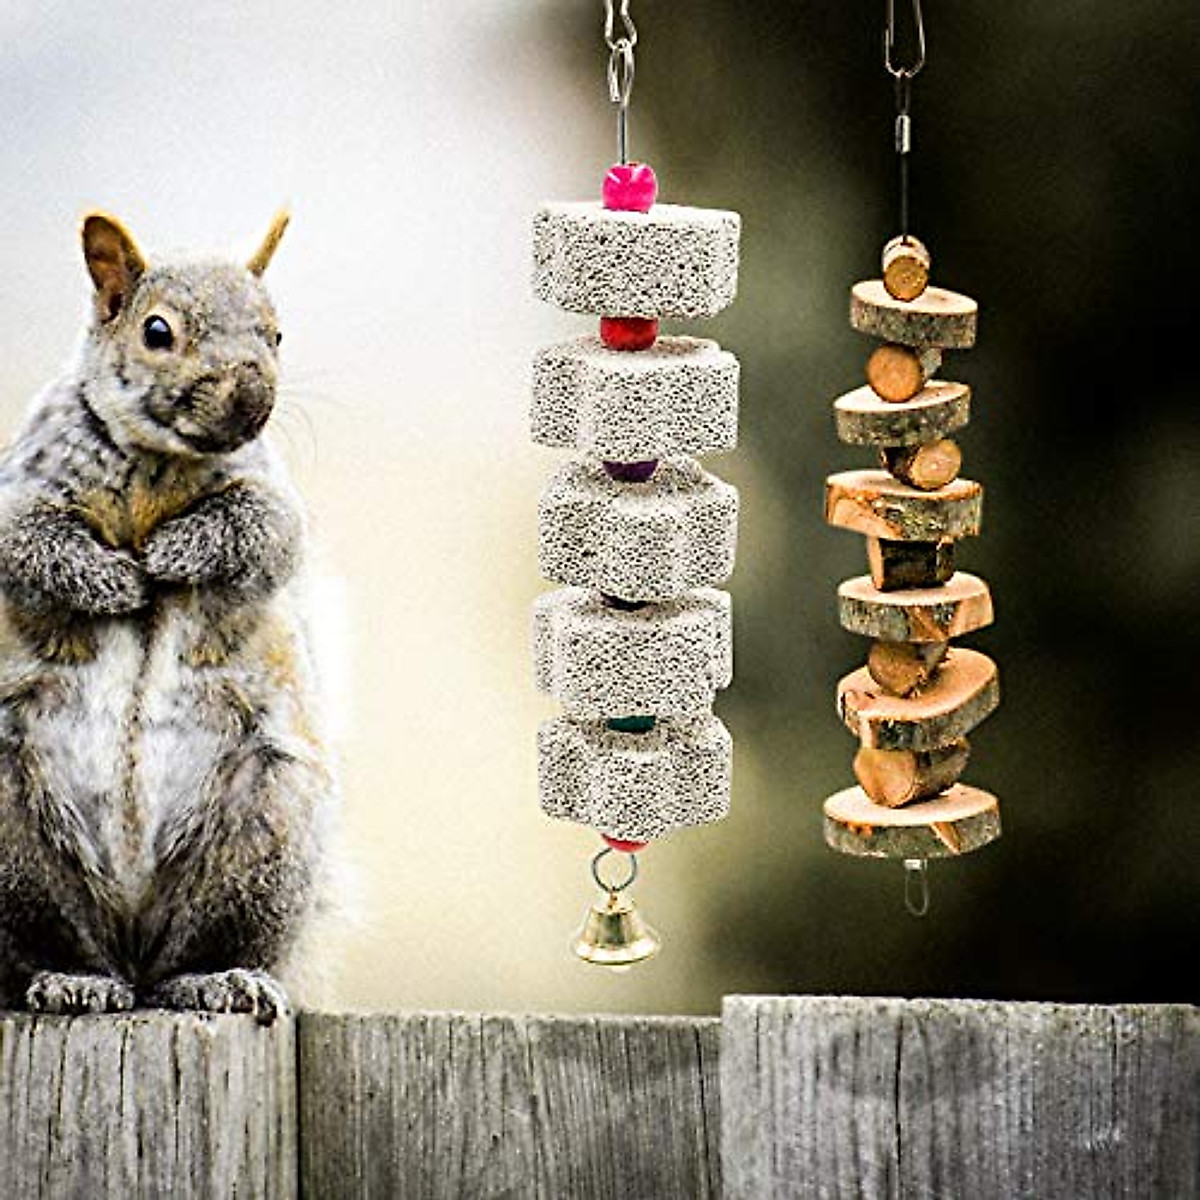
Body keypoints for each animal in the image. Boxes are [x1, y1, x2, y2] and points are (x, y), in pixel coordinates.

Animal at [0, 211, 335, 1023]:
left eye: (277, 334)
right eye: (158, 331)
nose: (253, 400)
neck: (158, 465)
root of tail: (131, 941)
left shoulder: (272, 499)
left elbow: (259, 529)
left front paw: (175, 552)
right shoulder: (21, 492)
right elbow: (30, 543)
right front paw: (114, 580)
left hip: (264, 836)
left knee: (195, 952)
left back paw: (217, 980)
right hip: (15, 840)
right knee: (54, 946)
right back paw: (73, 979)